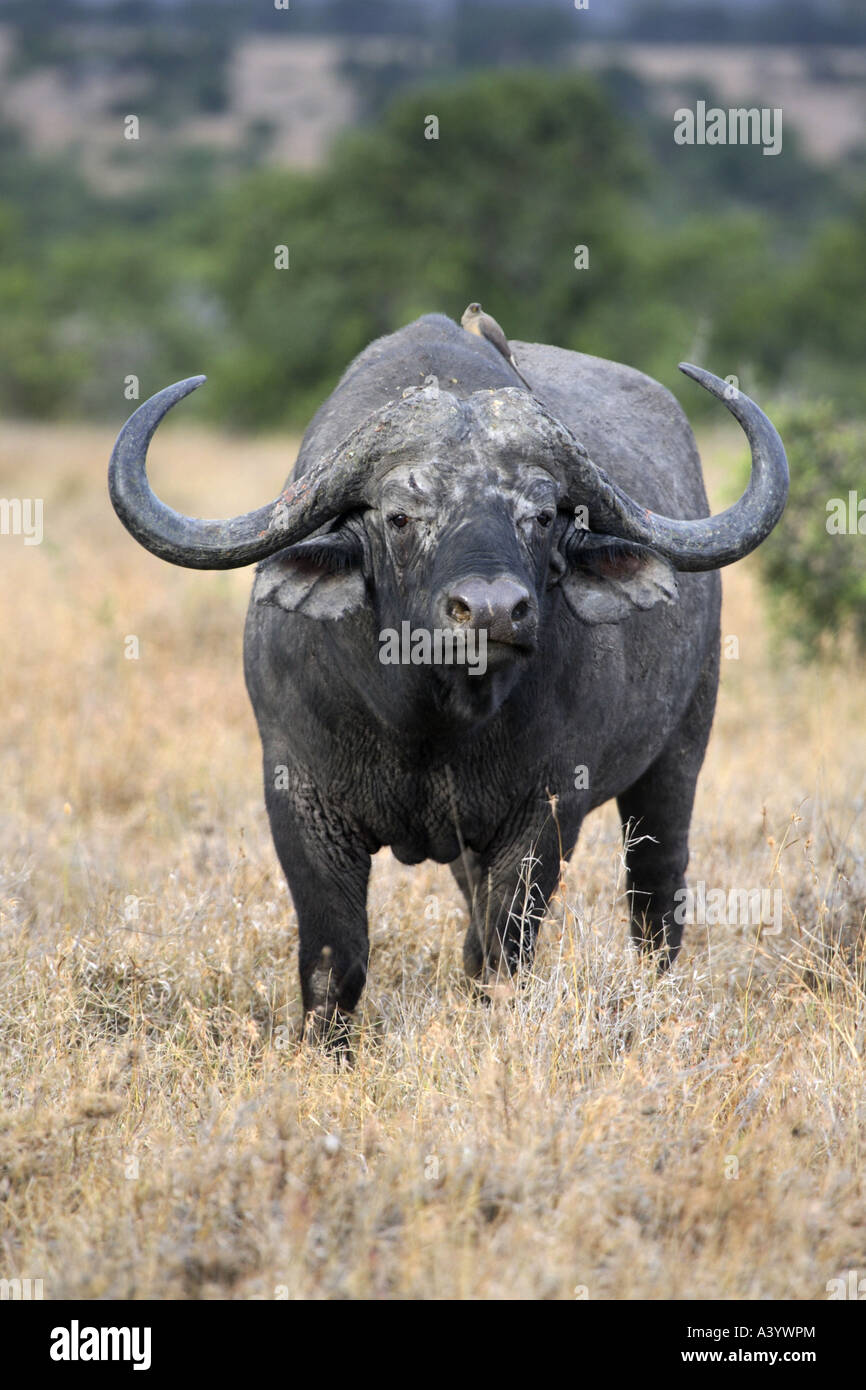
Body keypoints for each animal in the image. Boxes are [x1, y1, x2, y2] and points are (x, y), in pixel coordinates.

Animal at [109, 313, 788, 1042]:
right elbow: (335, 960)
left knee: (656, 895)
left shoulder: (547, 813)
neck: (428, 720)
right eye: (401, 517)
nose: (492, 610)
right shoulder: (300, 802)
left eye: (541, 515)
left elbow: (501, 949)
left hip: (679, 754)